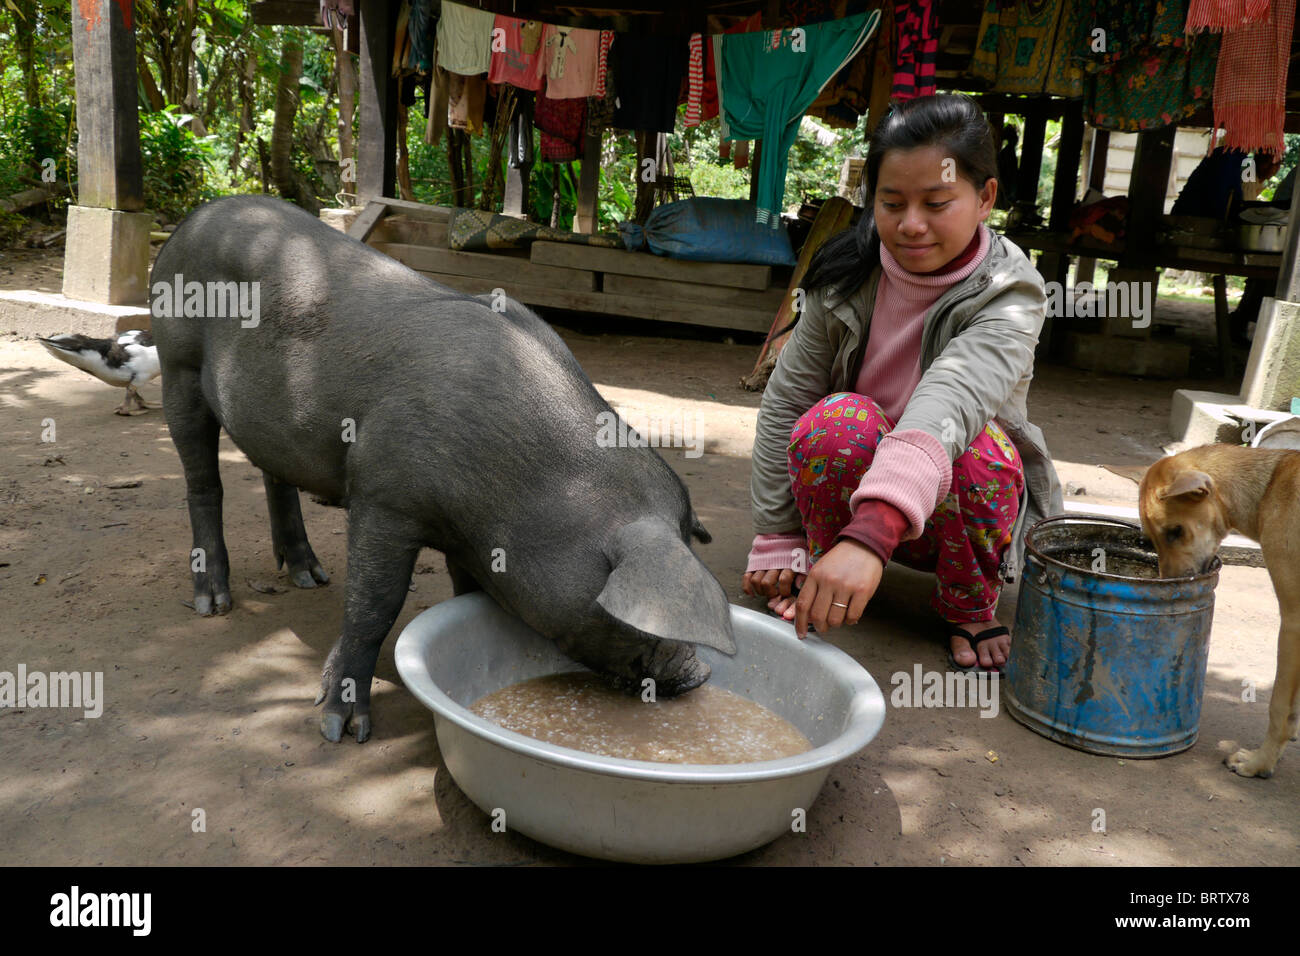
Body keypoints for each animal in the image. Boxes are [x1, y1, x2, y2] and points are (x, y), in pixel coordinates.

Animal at [150, 195, 736, 743]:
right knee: (203, 481)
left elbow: (464, 599)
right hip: (177, 362)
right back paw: (213, 603)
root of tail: (193, 219)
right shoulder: (383, 496)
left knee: (274, 473)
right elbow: (374, 606)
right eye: (635, 616)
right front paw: (341, 729)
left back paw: (308, 576)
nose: (699, 675)